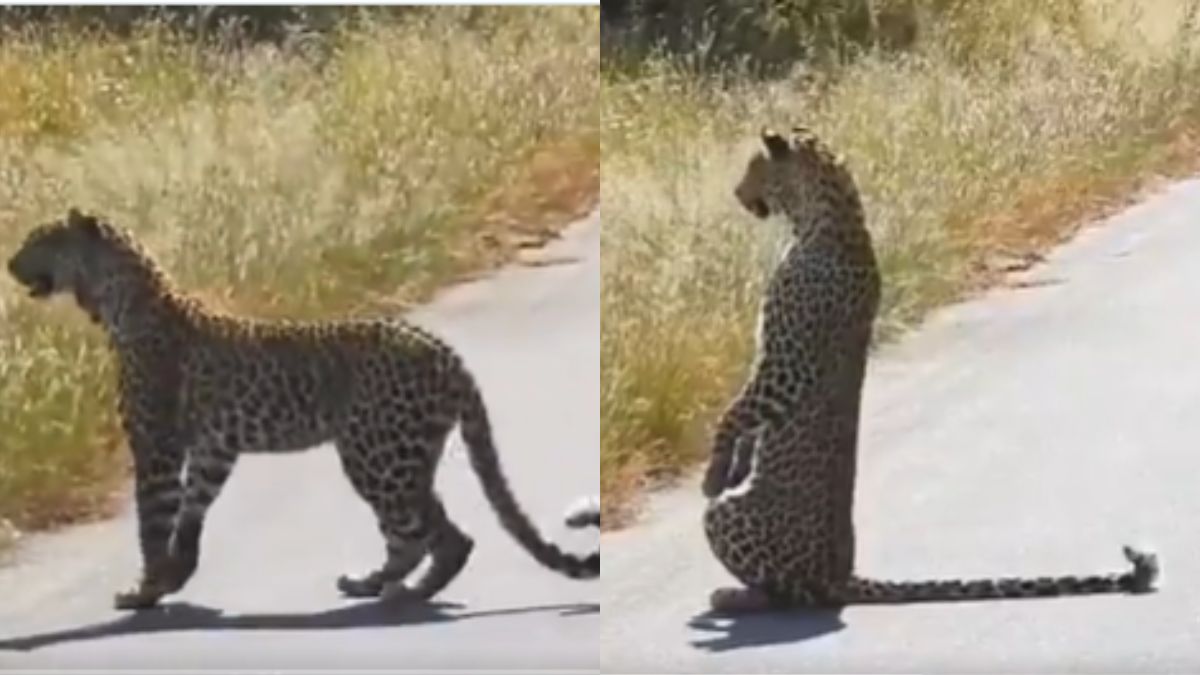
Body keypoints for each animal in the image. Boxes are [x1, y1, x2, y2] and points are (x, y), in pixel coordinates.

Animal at [6, 208, 599, 611]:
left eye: (38, 241)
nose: (10, 263)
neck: (117, 302)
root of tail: (441, 348)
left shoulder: (157, 445)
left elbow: (153, 520)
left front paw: (146, 590)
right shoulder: (214, 449)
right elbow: (191, 512)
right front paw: (174, 577)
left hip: (373, 455)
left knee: (438, 535)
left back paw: (394, 591)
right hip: (403, 455)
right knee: (428, 531)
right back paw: (381, 584)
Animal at [700, 127, 1158, 614]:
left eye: (753, 168)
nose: (737, 193)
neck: (818, 220)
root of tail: (842, 578)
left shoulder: (787, 367)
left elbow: (734, 412)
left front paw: (713, 476)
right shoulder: (771, 360)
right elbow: (745, 417)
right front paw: (734, 466)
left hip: (731, 519)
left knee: (787, 594)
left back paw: (733, 596)